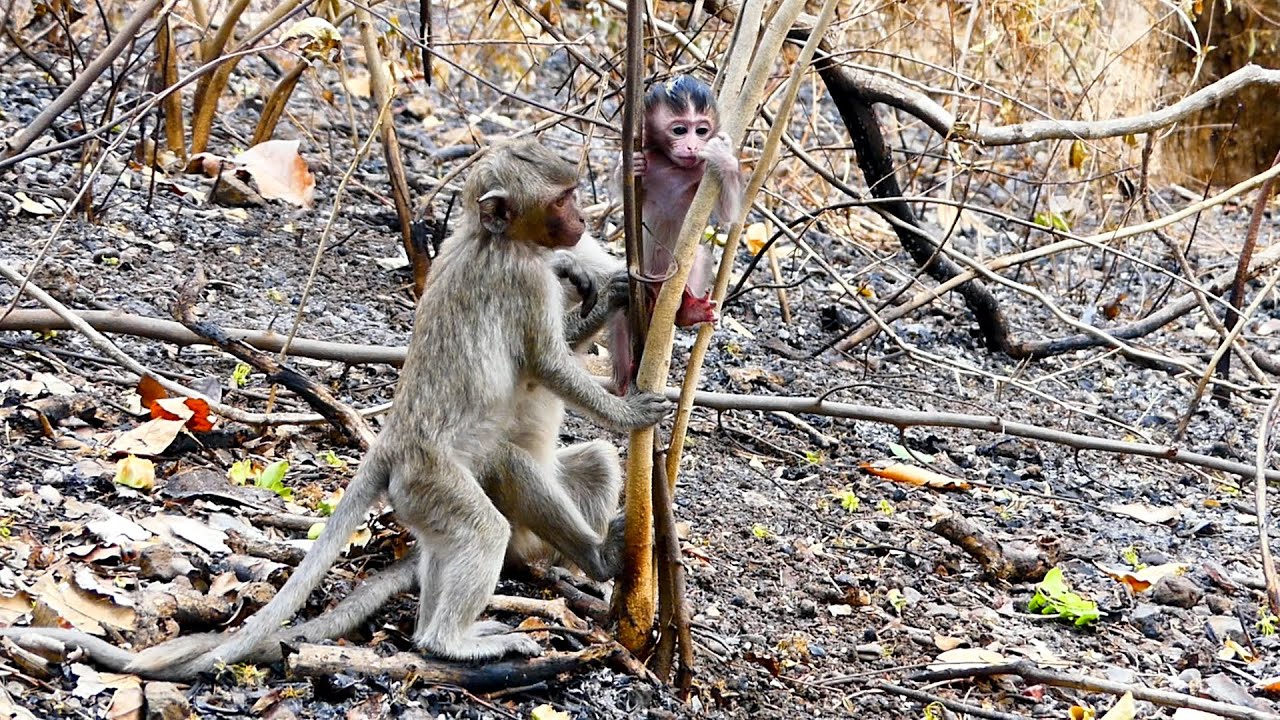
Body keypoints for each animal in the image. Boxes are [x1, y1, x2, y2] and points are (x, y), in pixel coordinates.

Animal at [0, 139, 669, 680]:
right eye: (562, 200)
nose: (579, 220)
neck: (494, 239)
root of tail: (391, 442)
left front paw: (615, 288)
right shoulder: (520, 283)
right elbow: (548, 365)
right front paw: (630, 406)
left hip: (425, 501)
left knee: (576, 470)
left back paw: (573, 567)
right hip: (427, 482)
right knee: (485, 522)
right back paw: (451, 640)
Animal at [609, 74, 745, 393]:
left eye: (702, 130)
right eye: (680, 129)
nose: (693, 146)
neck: (673, 166)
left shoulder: (703, 174)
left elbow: (730, 217)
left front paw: (724, 158)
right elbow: (625, 197)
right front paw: (627, 165)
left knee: (697, 257)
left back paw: (687, 312)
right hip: (641, 289)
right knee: (623, 303)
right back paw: (624, 376)